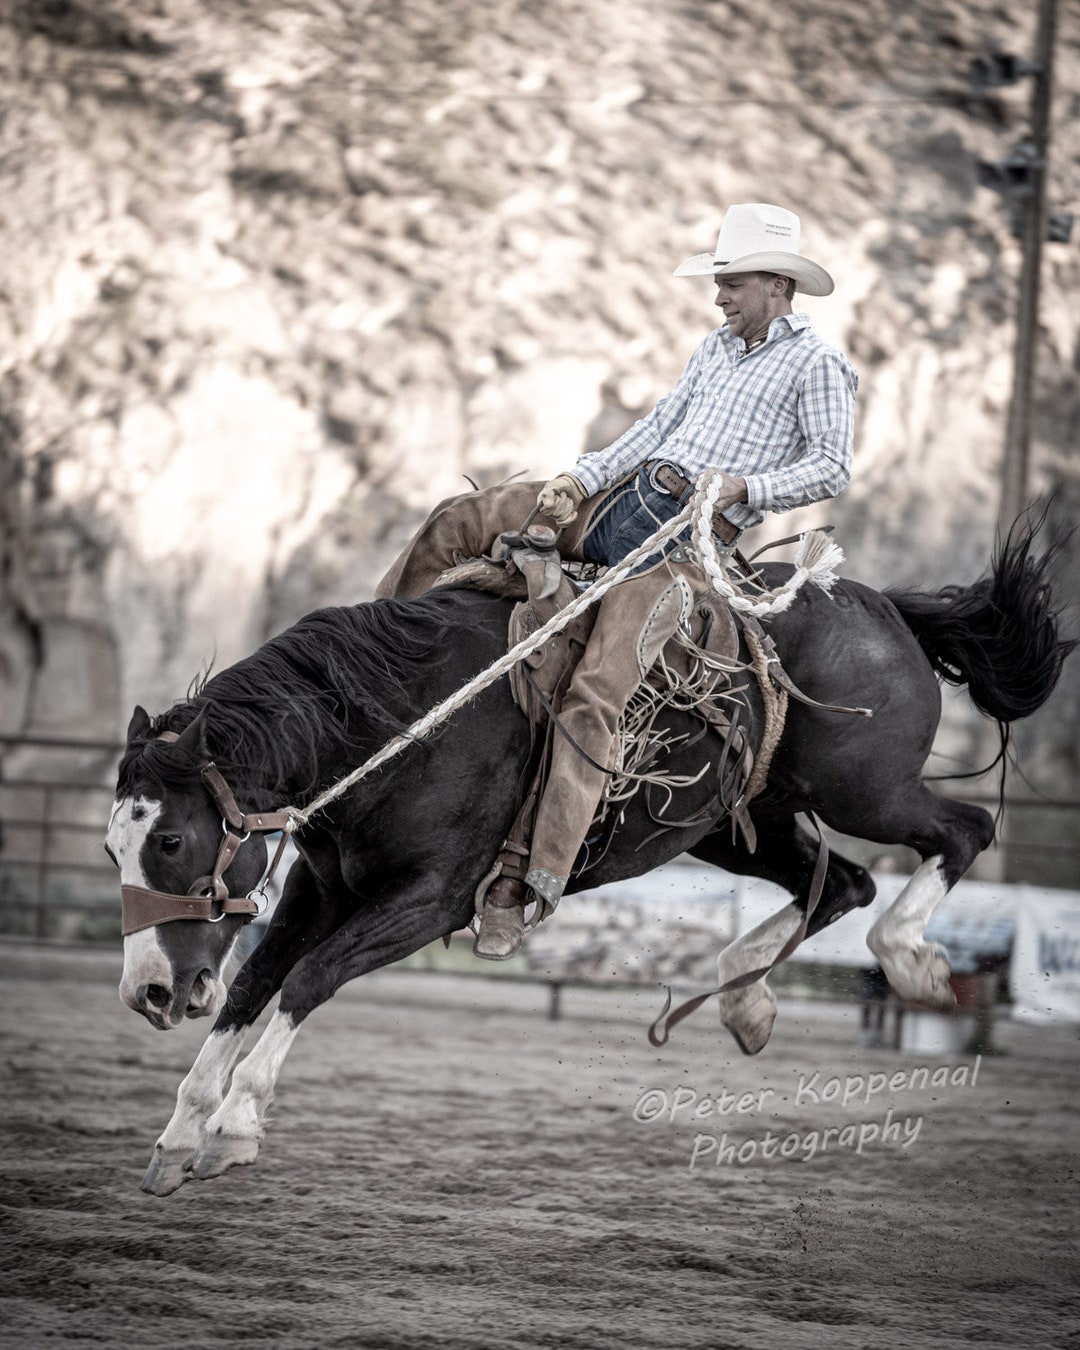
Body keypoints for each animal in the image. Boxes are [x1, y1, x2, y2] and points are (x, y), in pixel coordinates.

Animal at [107, 522, 1071, 1195]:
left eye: (172, 839)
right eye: (112, 842)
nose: (149, 992)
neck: (402, 719)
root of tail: (888, 610)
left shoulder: (432, 896)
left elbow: (308, 979)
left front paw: (235, 1127)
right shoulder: (320, 882)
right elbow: (252, 983)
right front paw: (179, 1136)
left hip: (865, 791)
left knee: (959, 833)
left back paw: (912, 961)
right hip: (740, 822)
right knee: (844, 881)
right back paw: (745, 999)